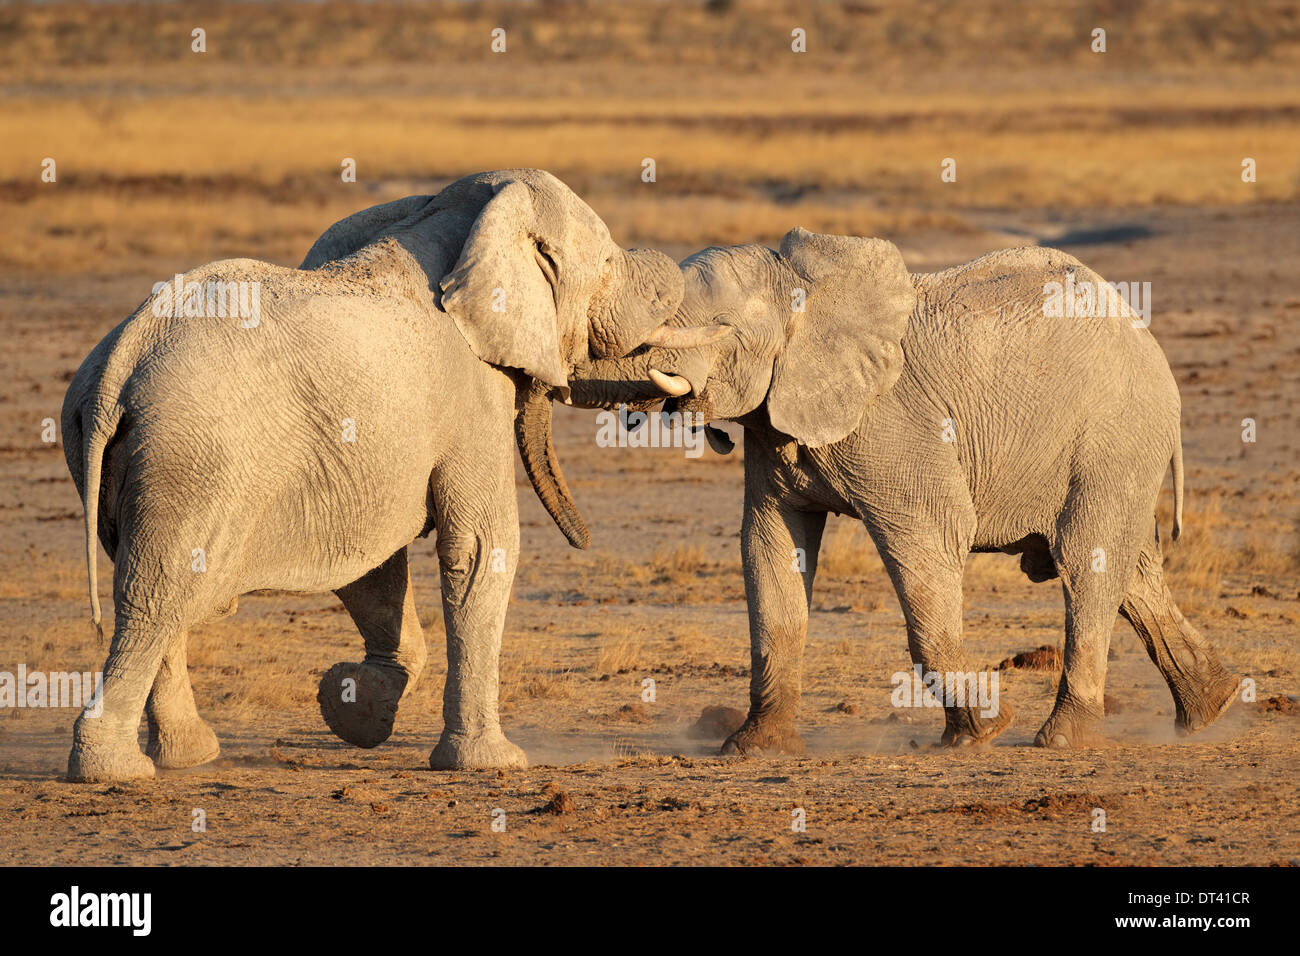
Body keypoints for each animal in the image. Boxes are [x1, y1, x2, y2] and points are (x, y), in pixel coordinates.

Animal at [60, 168, 715, 783]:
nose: (585, 537)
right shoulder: (471, 391)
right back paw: (114, 771)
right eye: (605, 265)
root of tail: (122, 359)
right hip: (195, 458)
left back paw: (190, 756)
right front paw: (492, 764)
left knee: (152, 587)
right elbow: (483, 546)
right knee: (156, 595)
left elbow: (373, 566)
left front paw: (347, 705)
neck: (460, 223)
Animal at [567, 228, 1241, 753]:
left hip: (1112, 435)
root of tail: (1149, 342)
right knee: (1135, 572)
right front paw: (750, 749)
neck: (803, 286)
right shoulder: (775, 425)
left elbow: (930, 540)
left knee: (1087, 563)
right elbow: (770, 550)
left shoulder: (896, 426)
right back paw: (1215, 707)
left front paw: (981, 734)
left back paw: (1061, 738)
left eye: (716, 328)